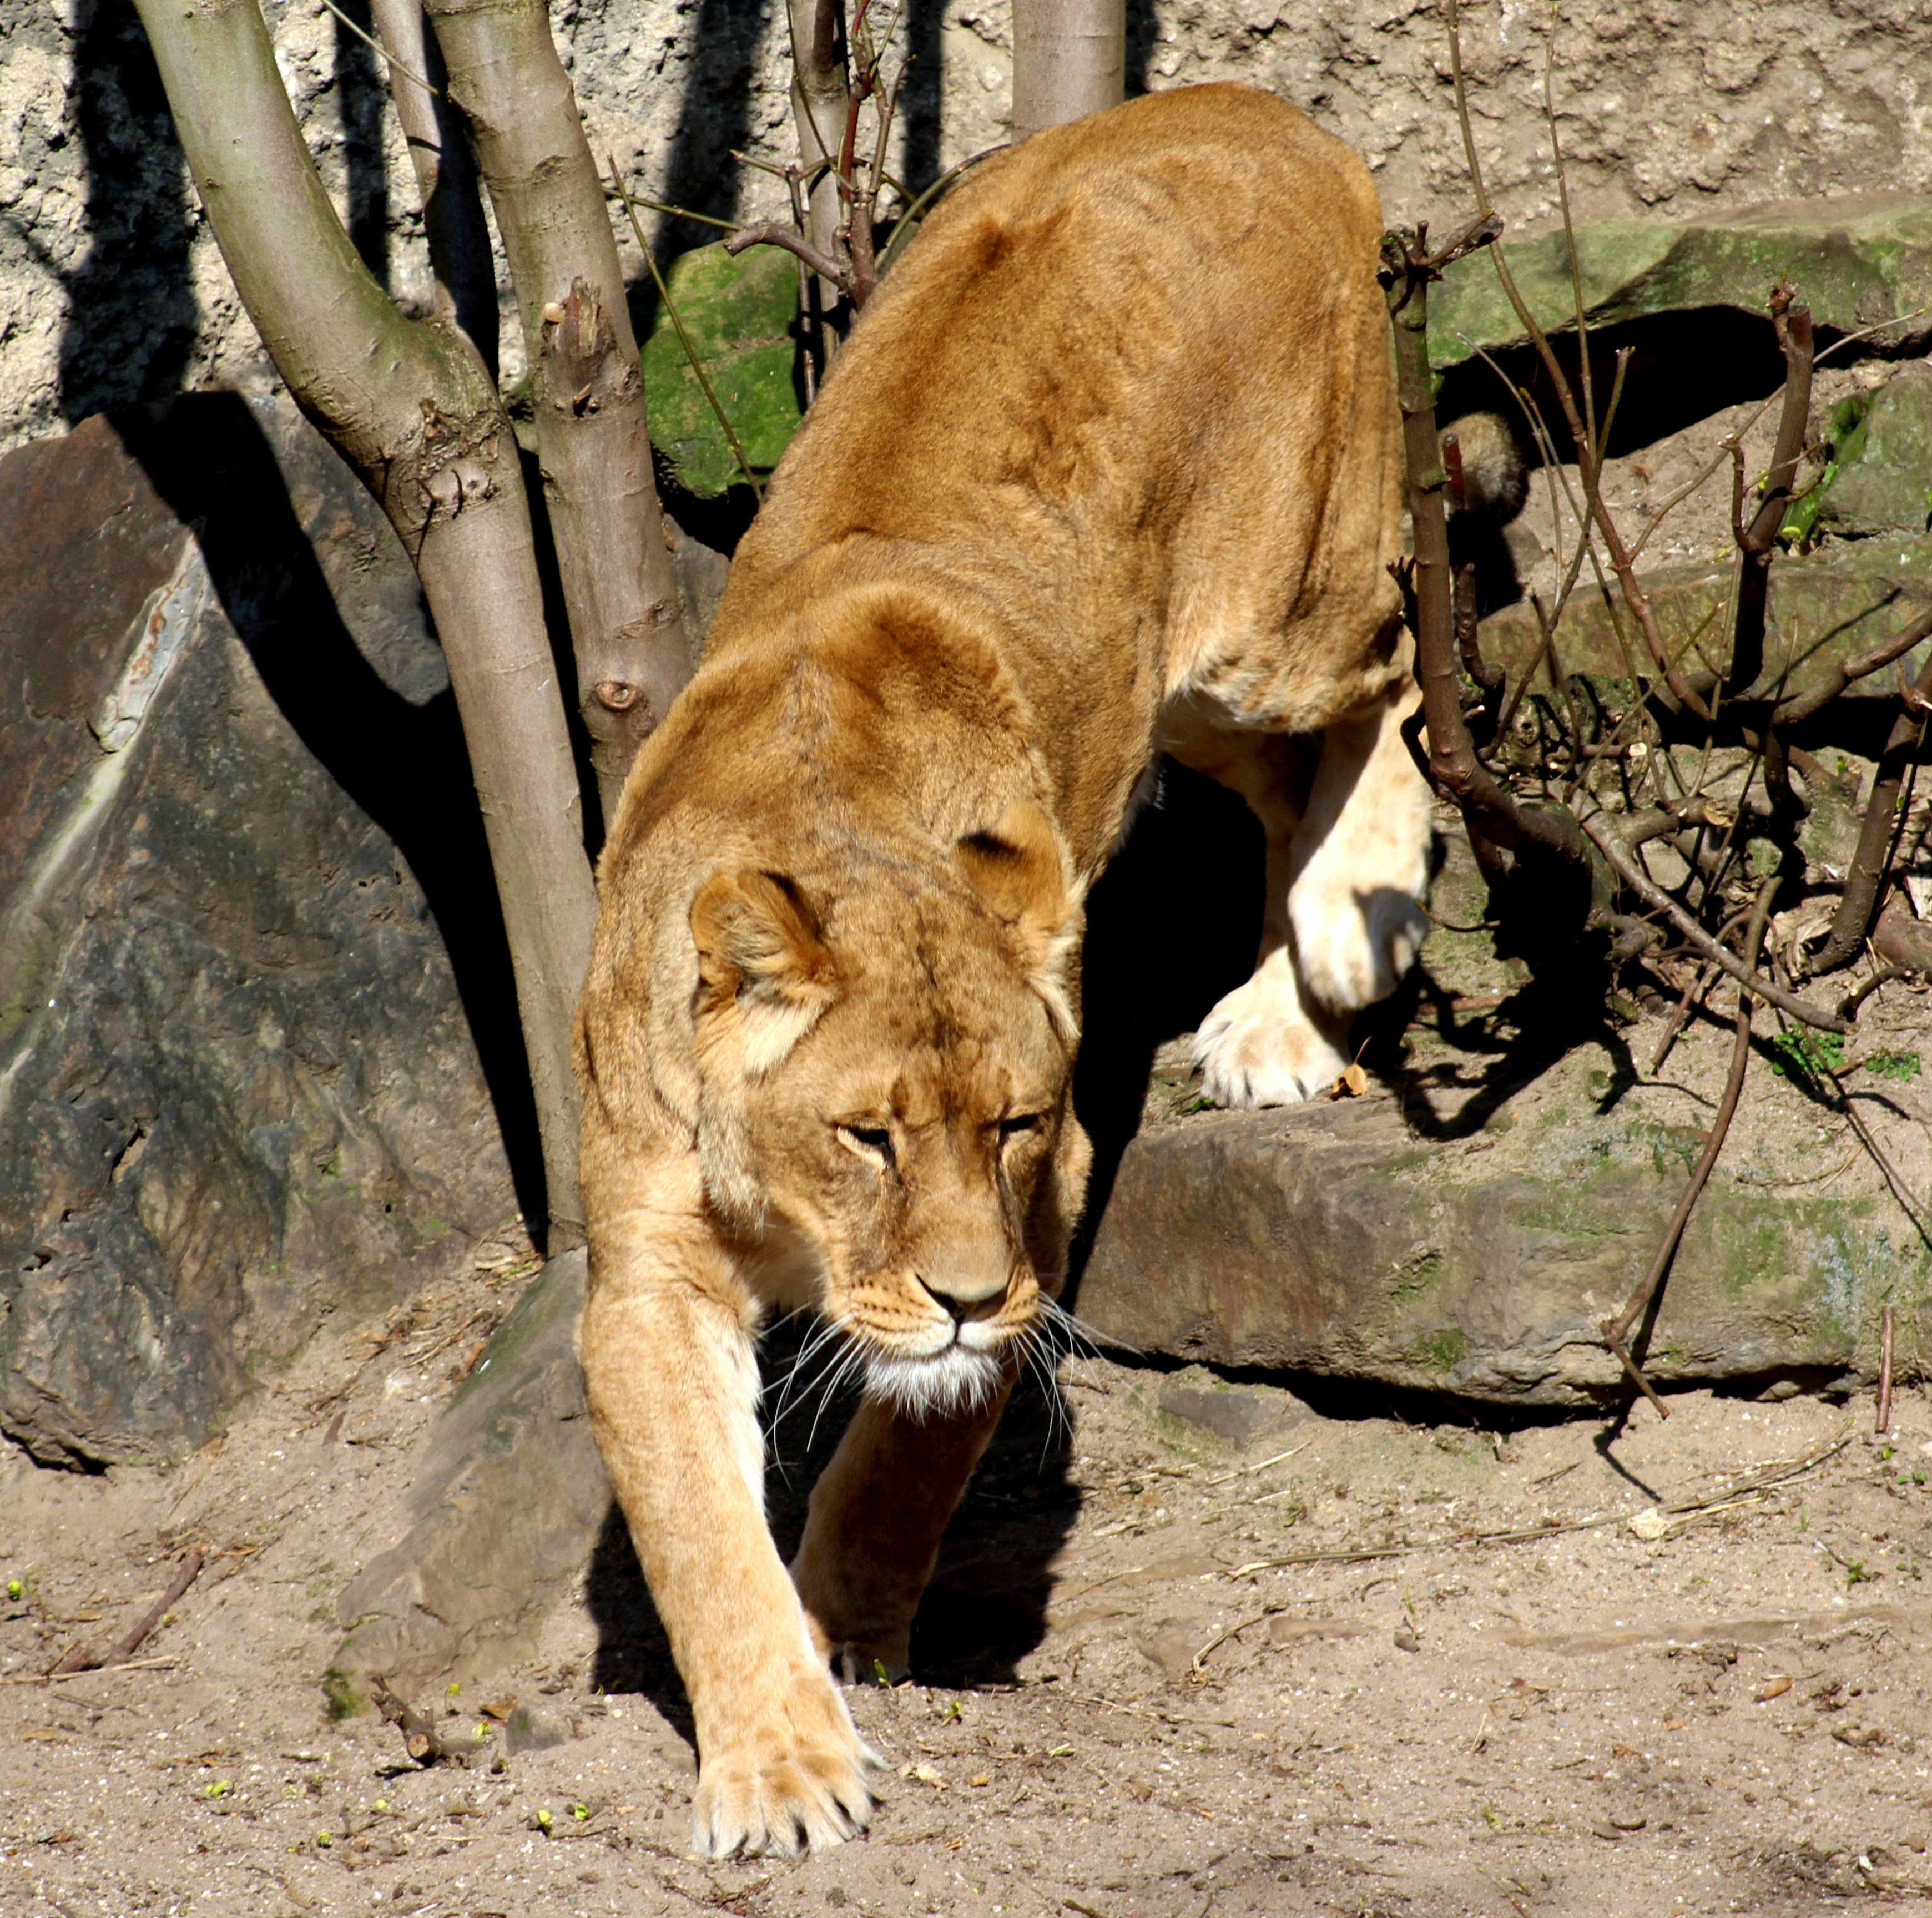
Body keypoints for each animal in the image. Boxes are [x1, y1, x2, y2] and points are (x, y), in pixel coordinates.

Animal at [574, 81, 1431, 1858]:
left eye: (1016, 1125)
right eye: (868, 1135)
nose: (967, 1296)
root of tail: (1262, 105)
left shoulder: (1046, 1199)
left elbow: (915, 1444)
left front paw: (846, 1623)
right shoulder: (645, 1273)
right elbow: (700, 1535)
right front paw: (780, 1764)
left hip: (1272, 618)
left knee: (1389, 664)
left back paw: (1342, 929)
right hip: (1179, 692)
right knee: (1277, 784)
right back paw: (1278, 1003)